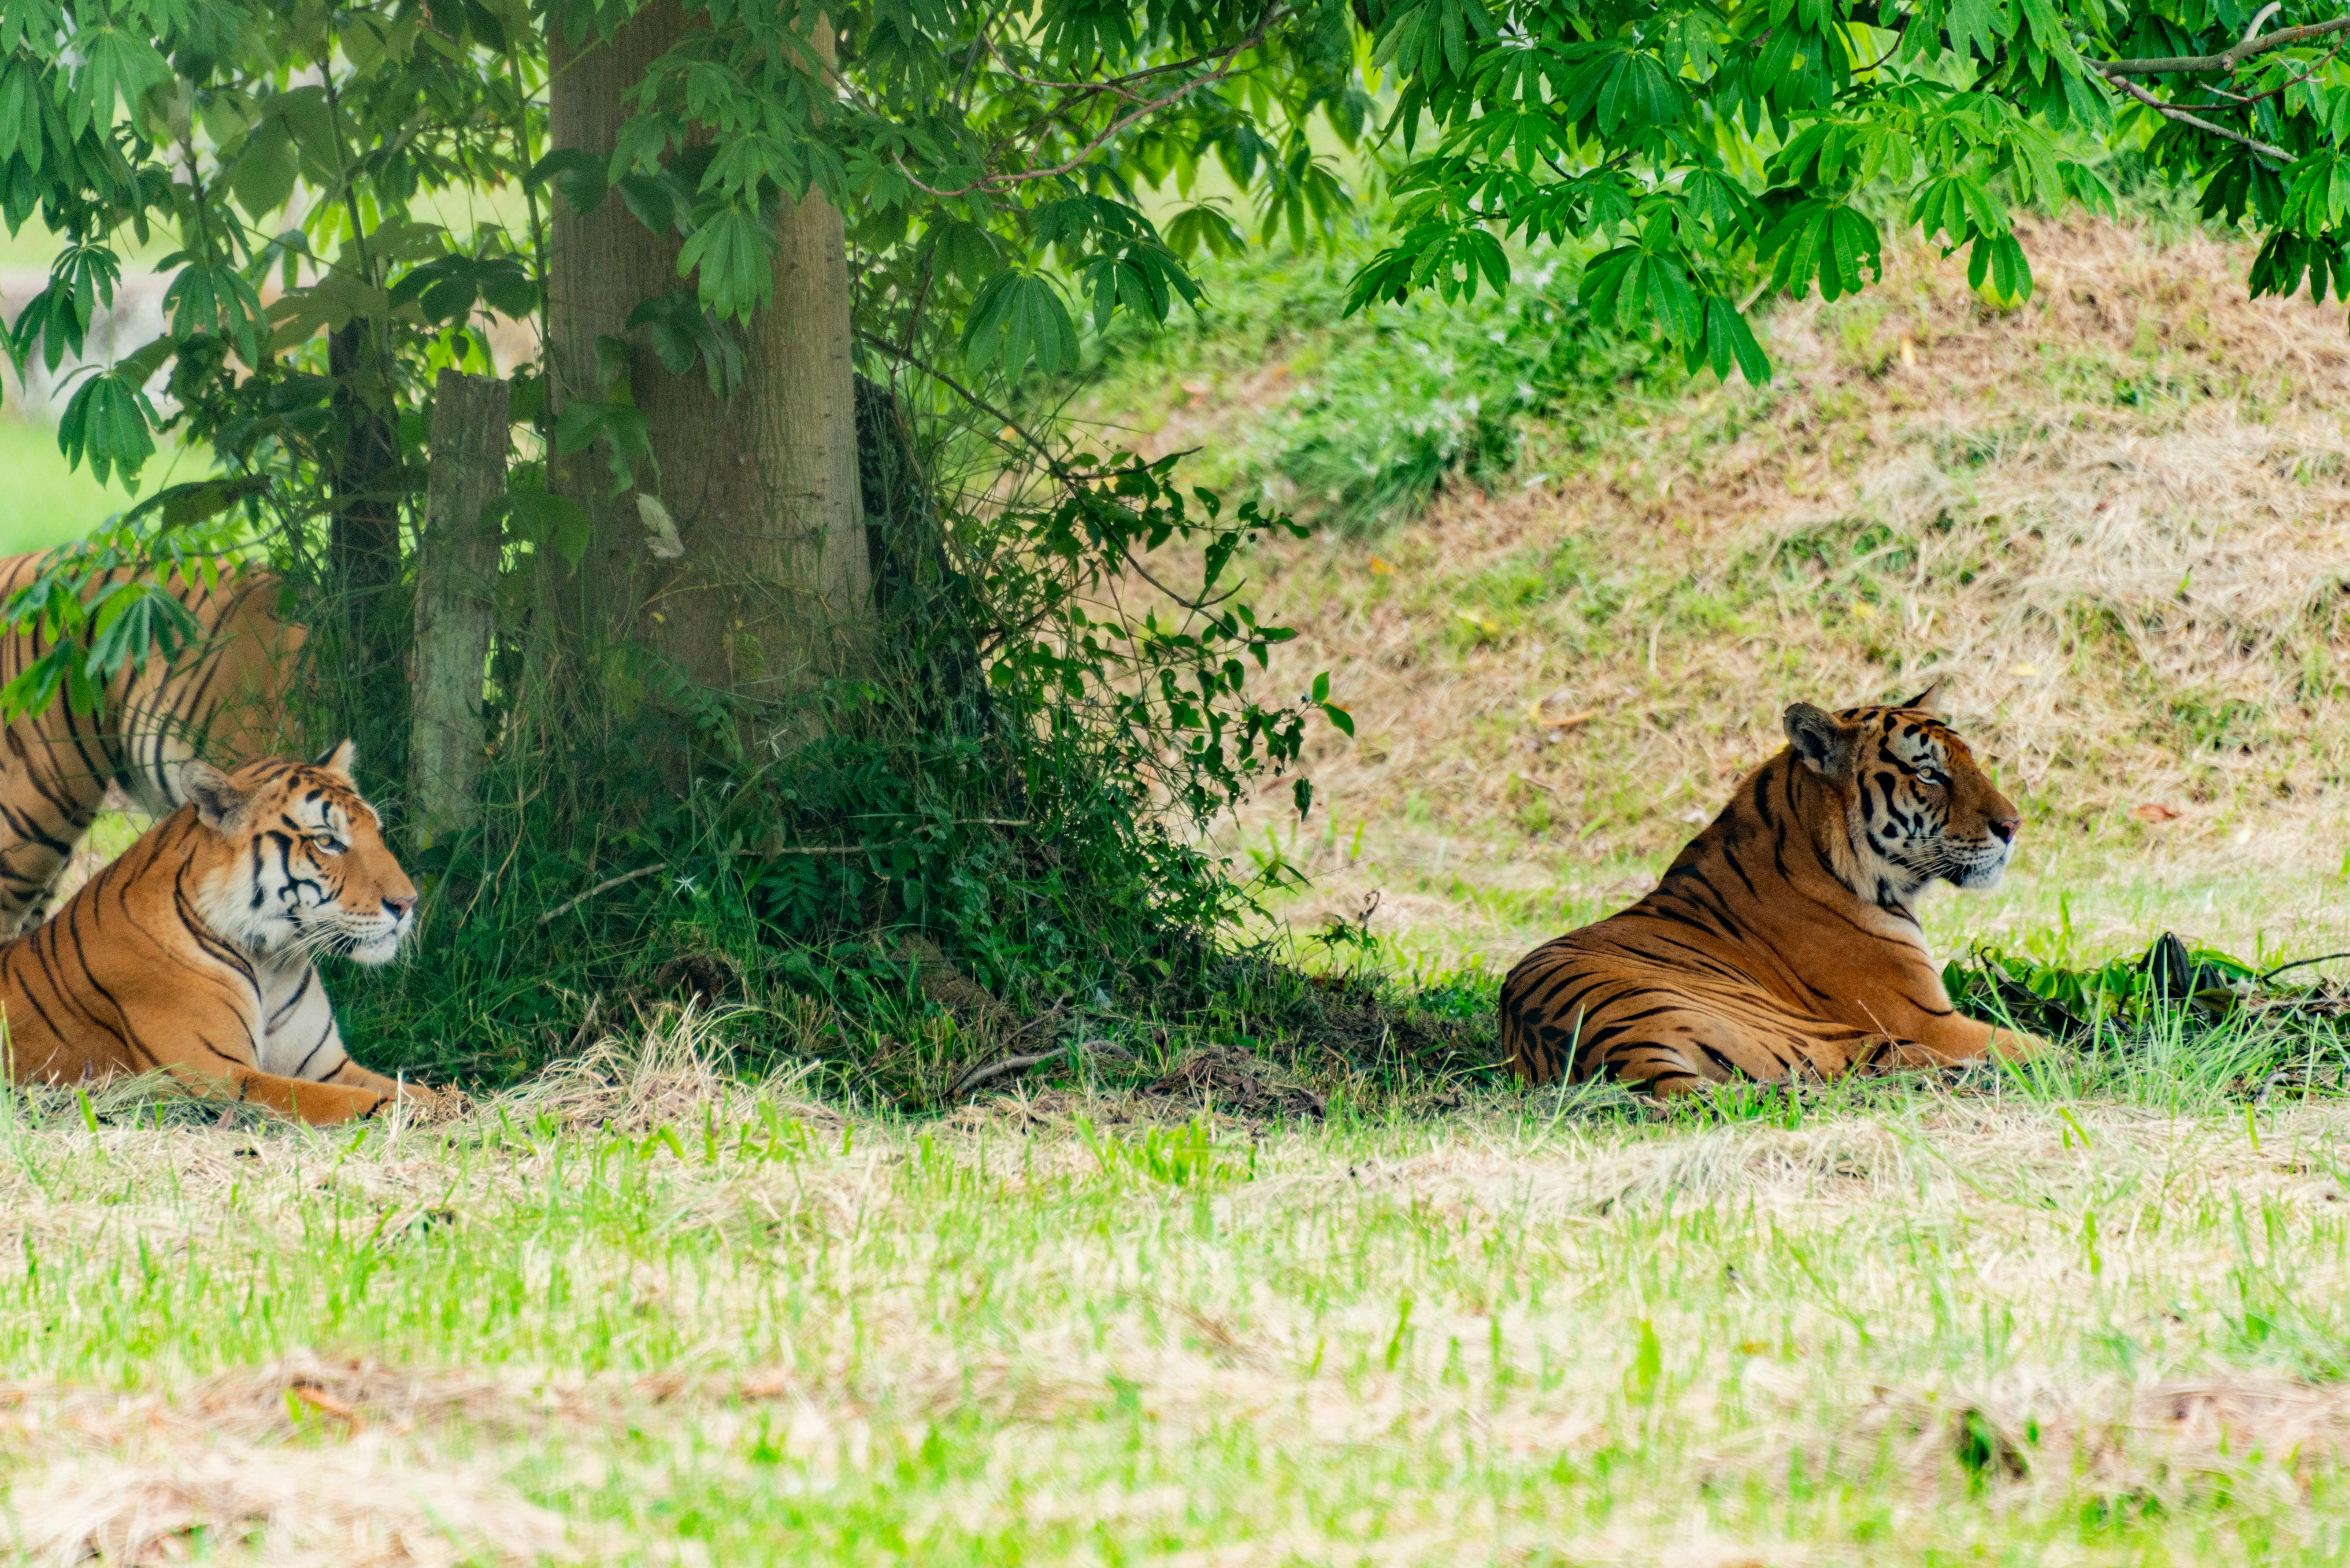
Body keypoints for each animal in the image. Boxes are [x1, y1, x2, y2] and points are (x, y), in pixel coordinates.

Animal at [0, 742, 451, 1124]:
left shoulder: (325, 1065)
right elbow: (342, 1100)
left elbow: (412, 1088)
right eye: (326, 841)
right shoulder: (213, 1073)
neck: (273, 961)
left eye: (376, 832)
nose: (408, 902)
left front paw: (450, 1103)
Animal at [1500, 686, 2048, 1094]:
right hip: (1846, 1036)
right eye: (1929, 773)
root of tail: (1630, 1052)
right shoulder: (1930, 1020)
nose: (2013, 825)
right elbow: (2036, 1043)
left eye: (1972, 762)